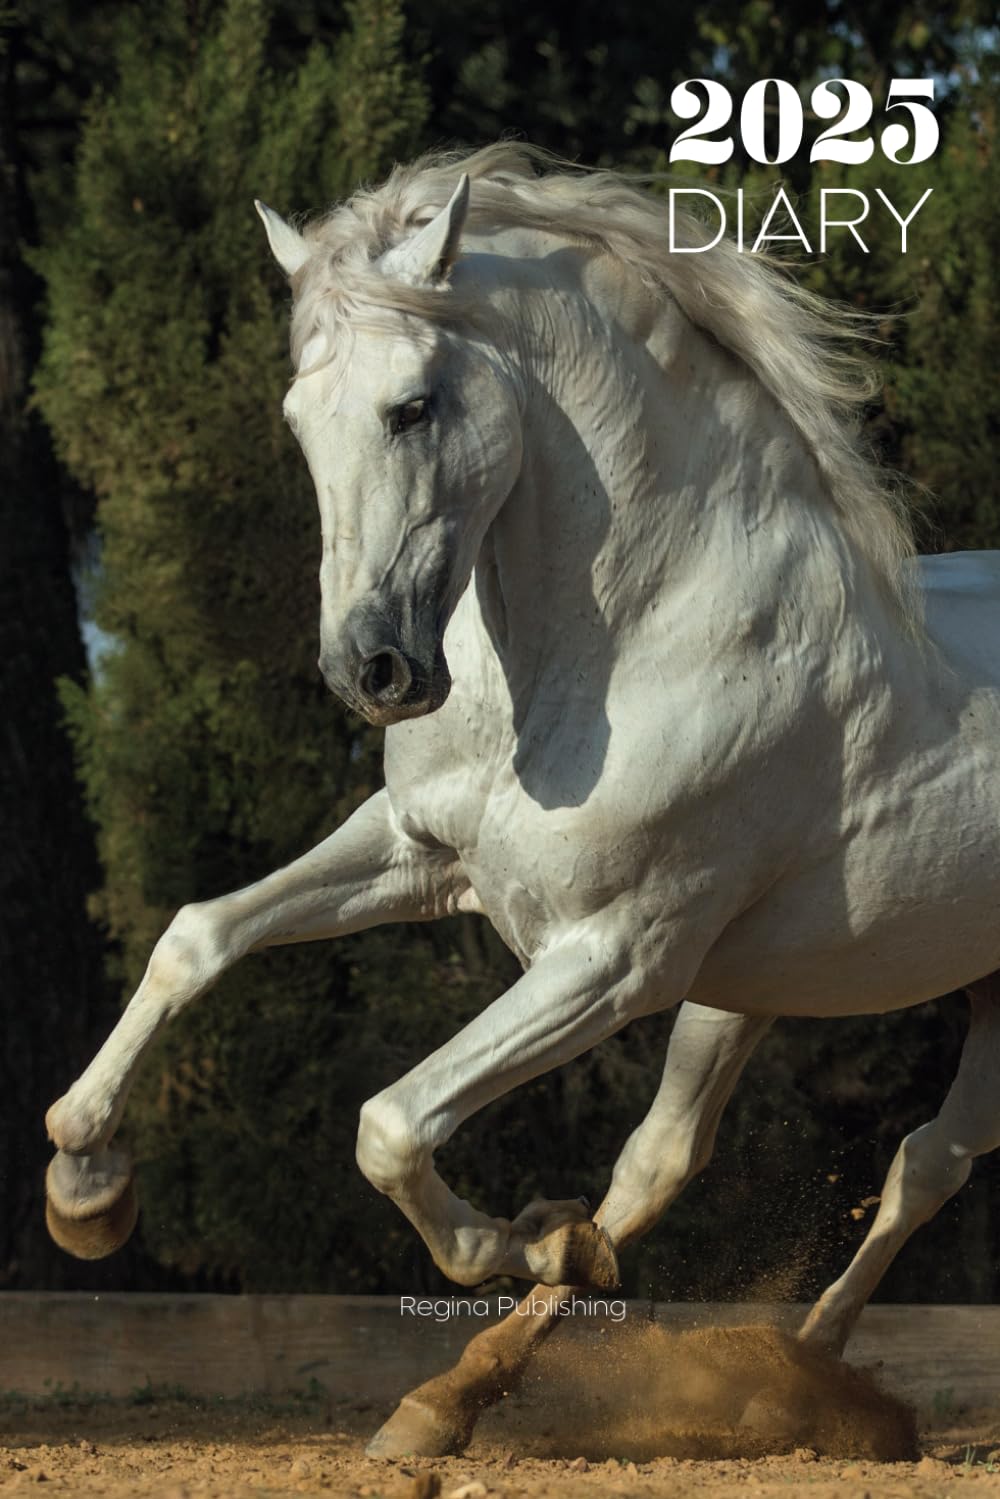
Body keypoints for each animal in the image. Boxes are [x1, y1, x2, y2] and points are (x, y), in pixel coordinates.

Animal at [44, 143, 1000, 1457]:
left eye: (413, 406)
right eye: (297, 416)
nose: (370, 671)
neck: (631, 643)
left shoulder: (609, 958)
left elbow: (390, 1122)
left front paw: (513, 1234)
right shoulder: (416, 851)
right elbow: (196, 935)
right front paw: (84, 1183)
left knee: (887, 1158)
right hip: (768, 988)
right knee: (767, 1161)